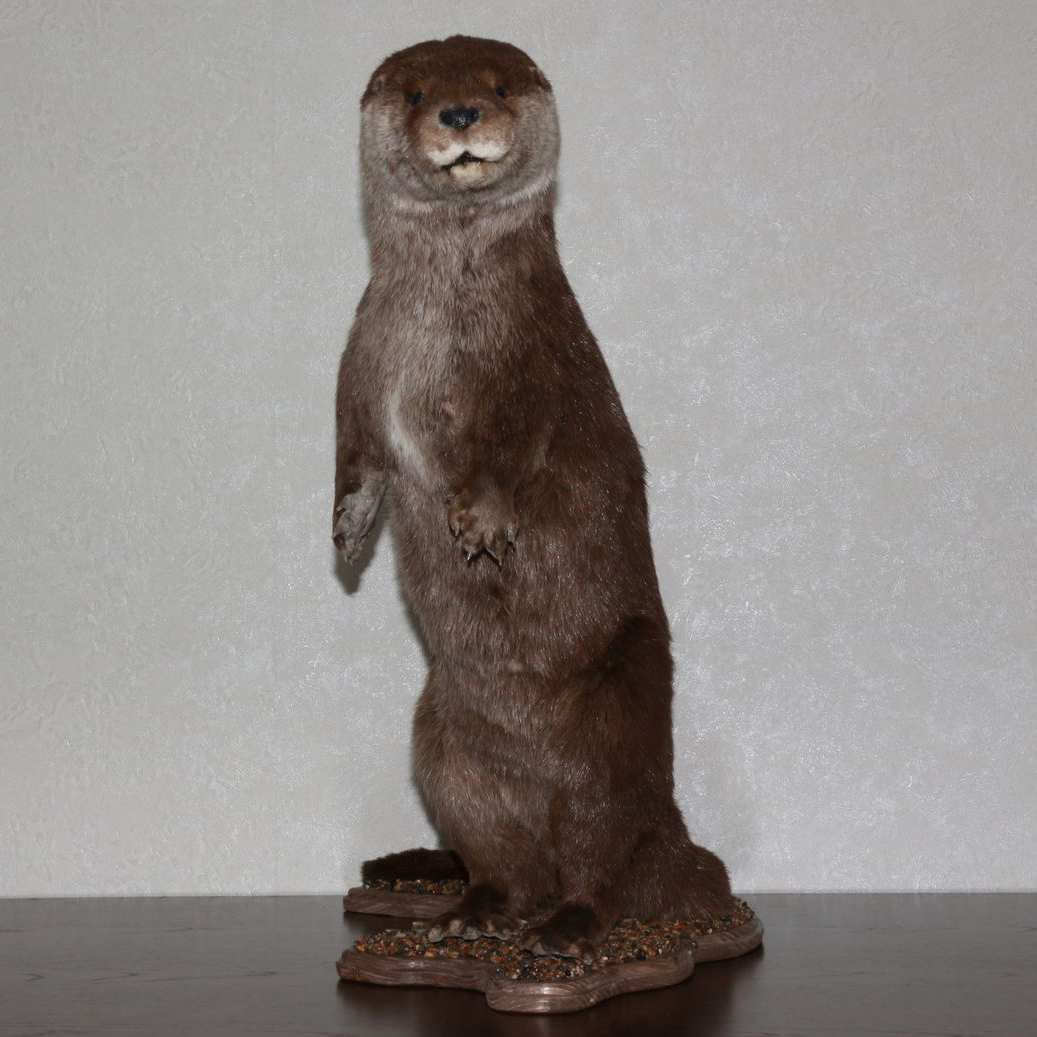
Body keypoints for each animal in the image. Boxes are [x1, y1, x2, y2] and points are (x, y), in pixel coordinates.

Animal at [334, 34, 734, 961]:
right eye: (415, 92)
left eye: (499, 84)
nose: (459, 114)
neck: (436, 325)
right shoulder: (361, 361)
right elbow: (354, 449)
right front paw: (346, 527)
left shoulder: (537, 354)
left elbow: (516, 441)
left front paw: (480, 520)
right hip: (441, 750)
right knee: (503, 860)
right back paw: (468, 915)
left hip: (615, 726)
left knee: (601, 854)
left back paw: (569, 930)